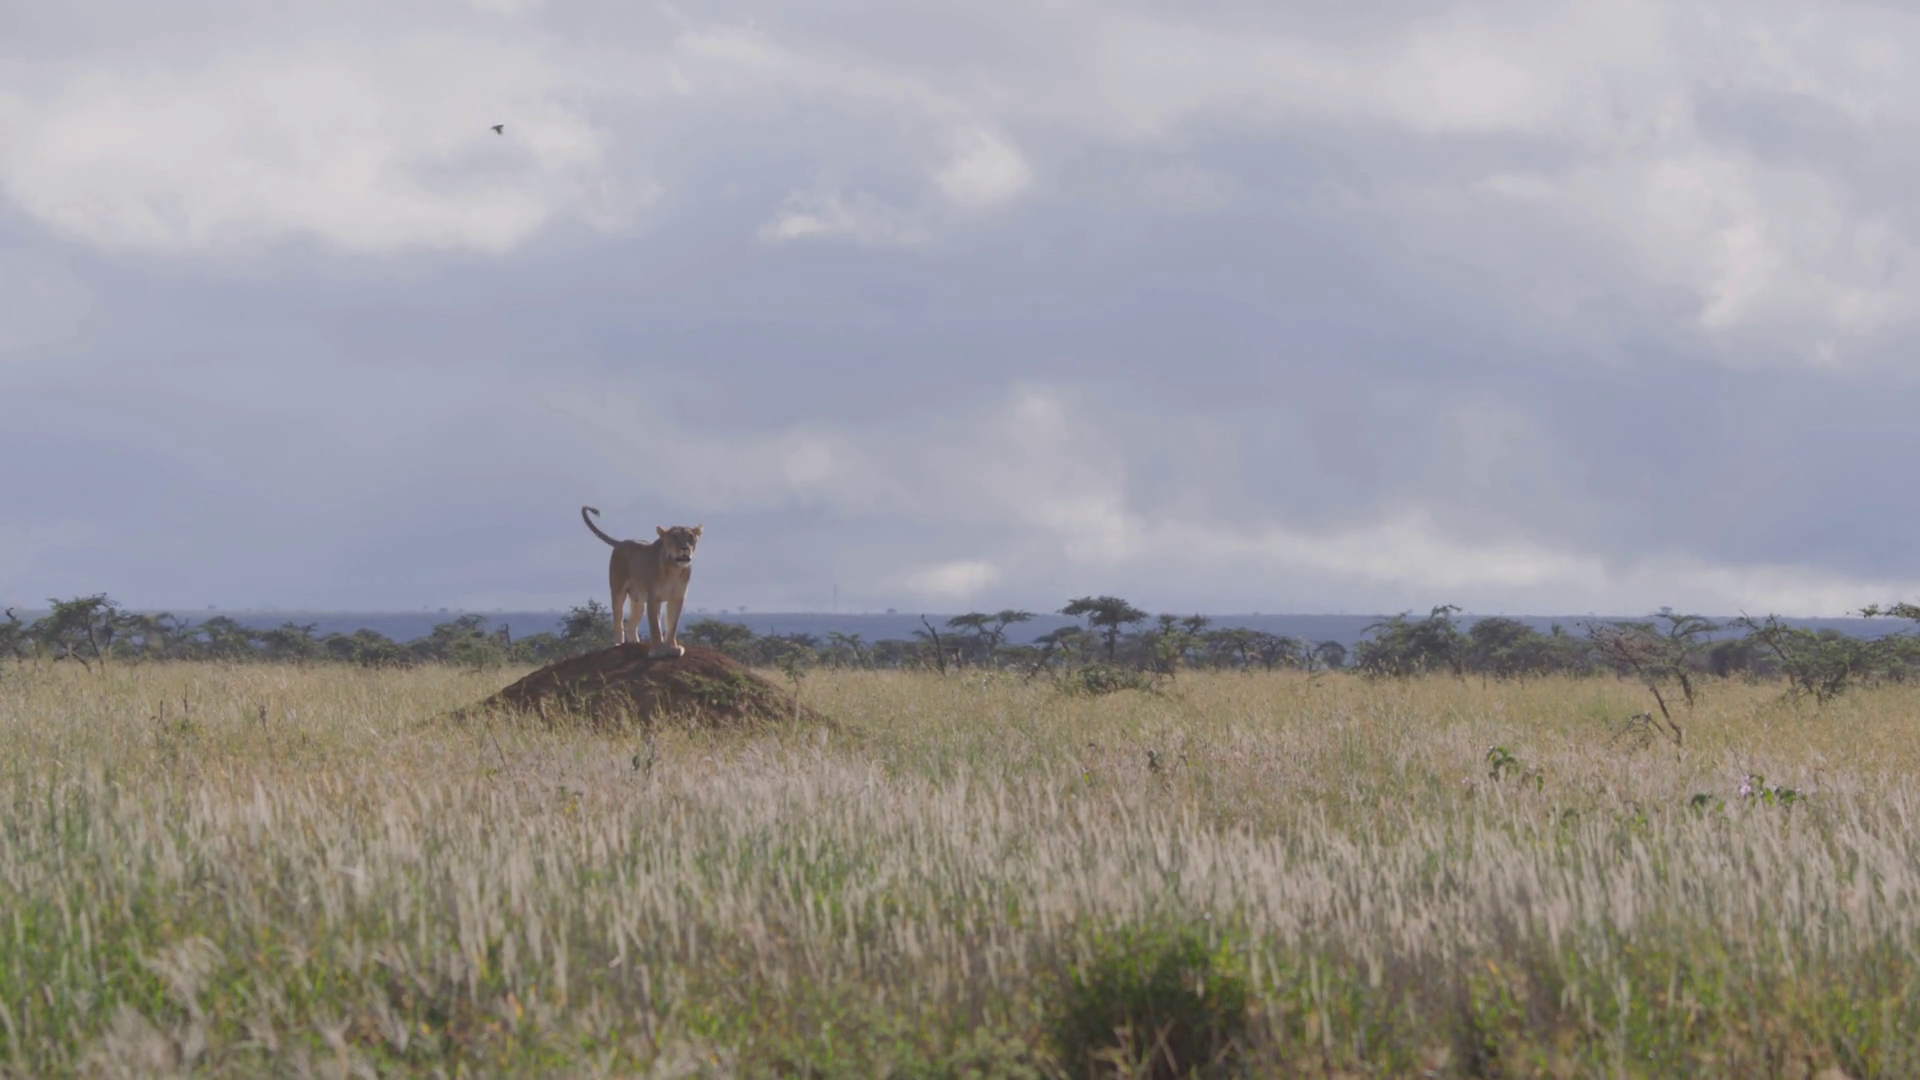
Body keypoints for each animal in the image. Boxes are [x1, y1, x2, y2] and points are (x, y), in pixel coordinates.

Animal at [581, 506, 704, 657]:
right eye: (674, 536)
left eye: (691, 537)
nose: (685, 548)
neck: (674, 568)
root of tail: (622, 542)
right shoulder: (653, 598)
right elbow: (655, 626)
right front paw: (657, 649)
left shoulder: (677, 598)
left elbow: (673, 625)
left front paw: (672, 647)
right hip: (618, 591)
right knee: (618, 620)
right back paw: (618, 644)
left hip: (637, 599)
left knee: (631, 624)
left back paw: (635, 644)